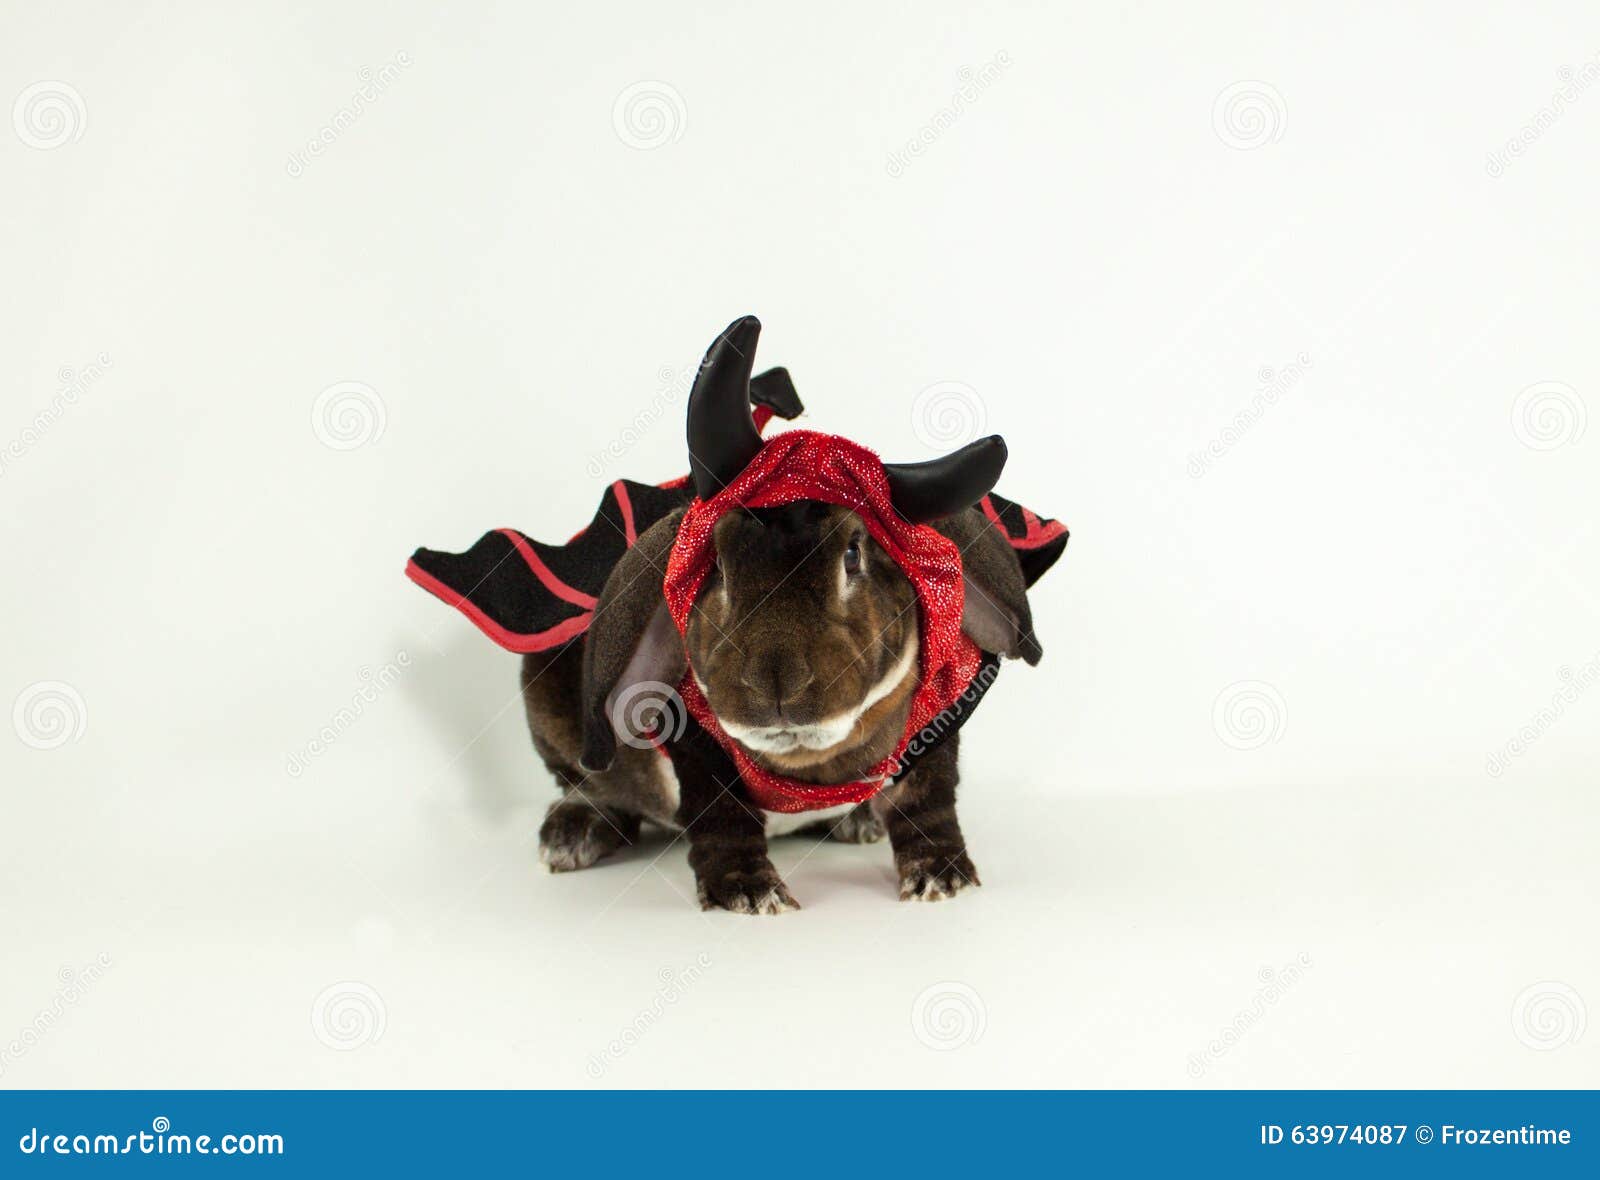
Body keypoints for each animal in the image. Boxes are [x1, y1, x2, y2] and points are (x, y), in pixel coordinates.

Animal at [518, 316, 1059, 914]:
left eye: (853, 554)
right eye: (719, 567)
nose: (775, 684)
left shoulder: (937, 726)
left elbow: (928, 801)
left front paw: (942, 877)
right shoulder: (698, 753)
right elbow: (723, 820)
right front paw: (748, 894)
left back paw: (860, 822)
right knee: (586, 786)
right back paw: (572, 834)